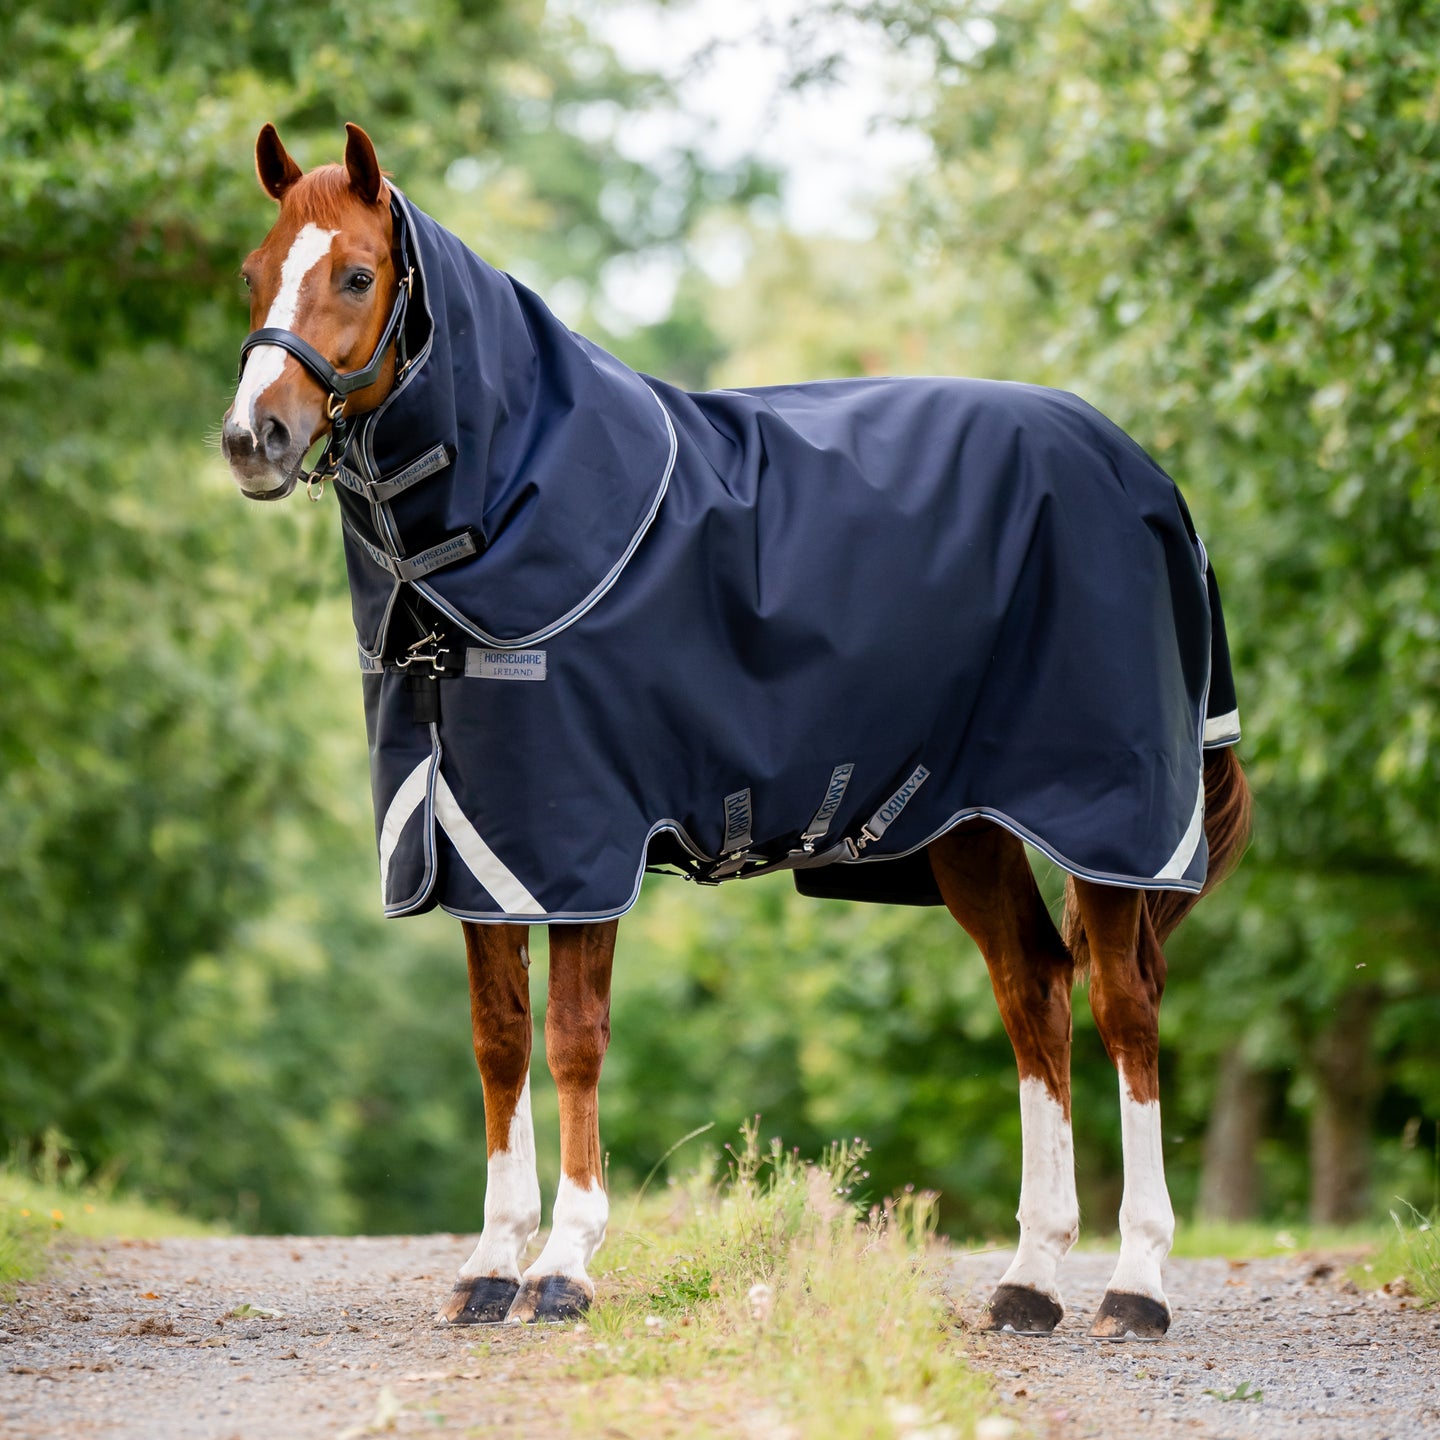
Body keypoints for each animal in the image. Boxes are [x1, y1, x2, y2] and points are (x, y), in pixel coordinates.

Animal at [220, 123, 1251, 1337]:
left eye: (357, 274)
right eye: (254, 272)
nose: (253, 436)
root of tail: (1147, 476)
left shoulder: (581, 842)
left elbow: (572, 1039)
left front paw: (565, 1264)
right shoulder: (479, 841)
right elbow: (499, 1040)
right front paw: (488, 1266)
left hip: (1112, 818)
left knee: (1126, 1008)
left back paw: (1135, 1283)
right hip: (969, 827)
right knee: (1035, 996)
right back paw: (1031, 1280)